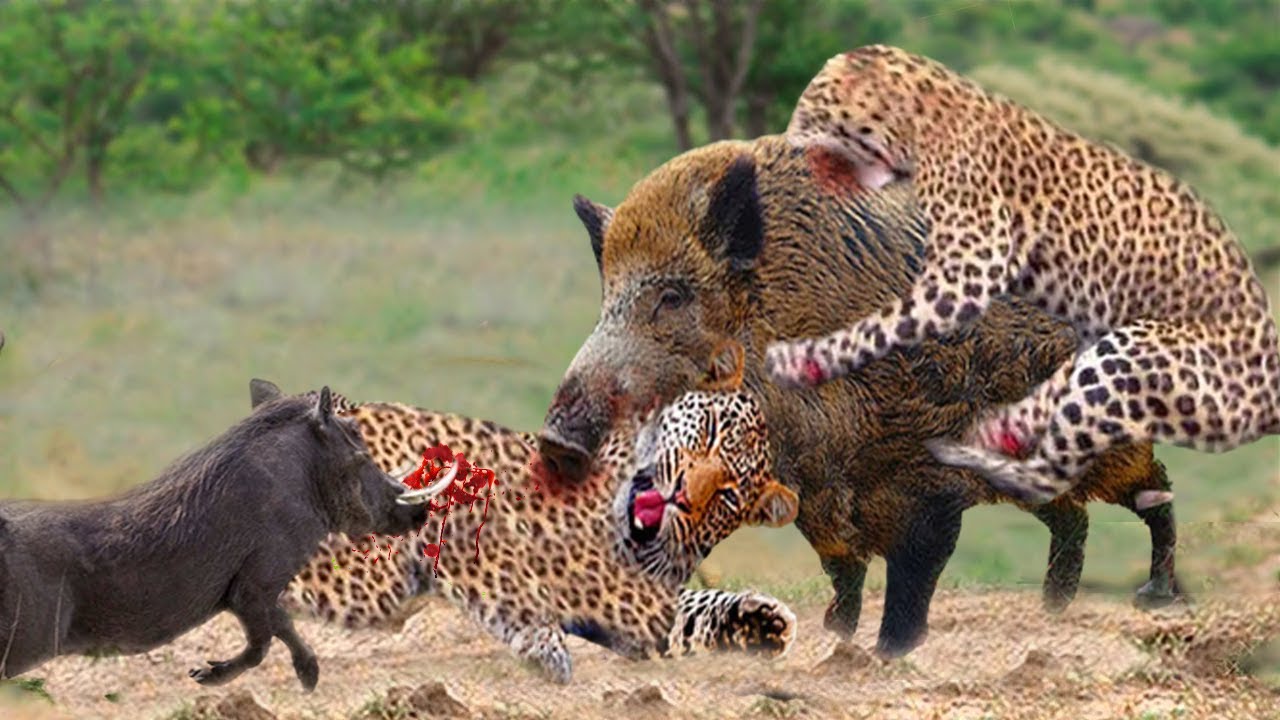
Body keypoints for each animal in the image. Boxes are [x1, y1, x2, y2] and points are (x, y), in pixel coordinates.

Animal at [252, 374, 796, 685]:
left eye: (728, 493)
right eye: (707, 434)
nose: (680, 492)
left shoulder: (630, 596)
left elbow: (695, 610)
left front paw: (763, 621)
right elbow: (510, 583)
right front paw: (545, 647)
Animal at [763, 44, 1280, 505]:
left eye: (810, 104)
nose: (784, 139)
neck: (920, 121)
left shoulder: (967, 273)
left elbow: (876, 325)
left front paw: (801, 359)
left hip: (1138, 351)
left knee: (1048, 478)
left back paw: (958, 453)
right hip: (1113, 350)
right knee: (1064, 398)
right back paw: (1000, 428)